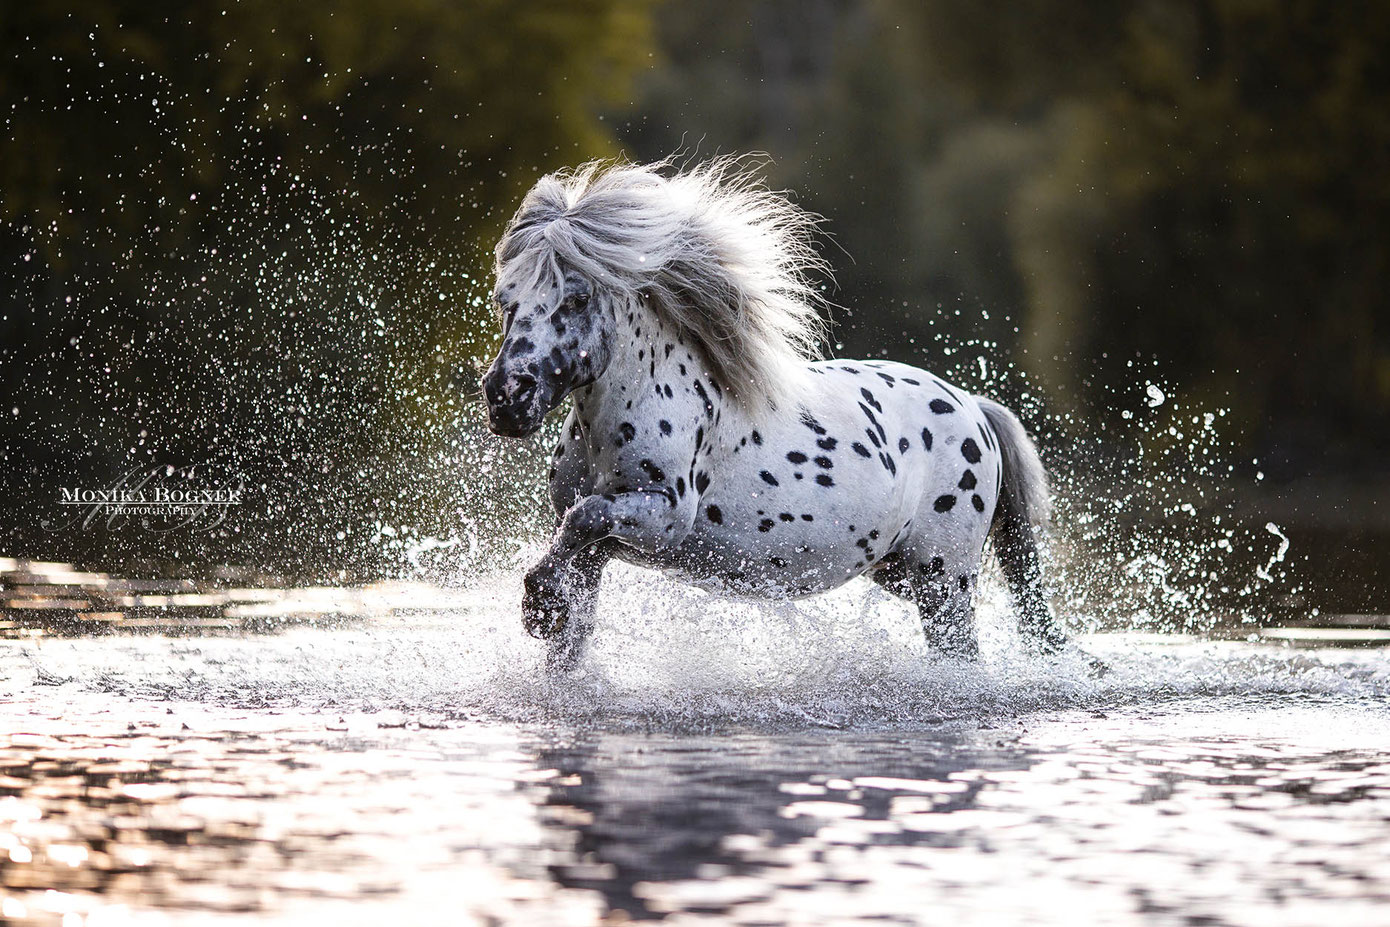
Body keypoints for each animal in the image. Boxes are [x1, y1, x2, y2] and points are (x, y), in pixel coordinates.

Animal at [480, 158, 1069, 672]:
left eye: (577, 298)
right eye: (505, 298)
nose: (507, 396)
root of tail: (974, 409)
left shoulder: (663, 516)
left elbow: (585, 518)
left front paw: (537, 605)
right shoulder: (600, 547)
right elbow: (575, 585)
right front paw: (550, 617)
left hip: (942, 583)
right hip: (900, 573)